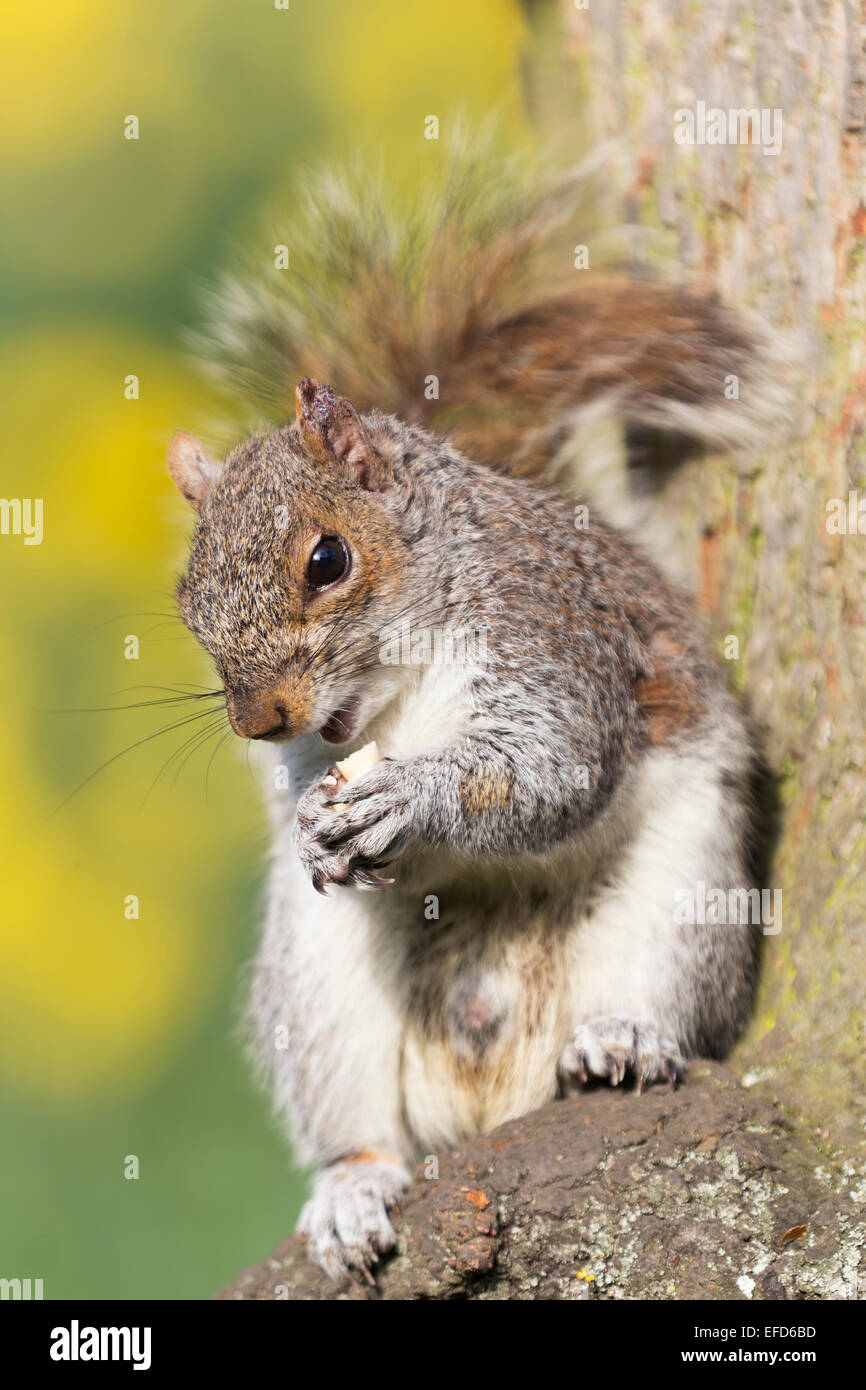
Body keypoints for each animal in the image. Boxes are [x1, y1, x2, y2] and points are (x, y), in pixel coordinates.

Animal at [167, 142, 778, 1280]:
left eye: (327, 560)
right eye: (186, 604)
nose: (259, 721)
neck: (395, 693)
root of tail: (487, 1094)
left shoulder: (556, 642)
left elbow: (546, 770)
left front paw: (409, 799)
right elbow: (311, 800)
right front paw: (318, 823)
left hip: (682, 900)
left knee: (659, 991)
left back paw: (623, 1038)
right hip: (318, 990)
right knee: (357, 1123)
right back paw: (352, 1188)